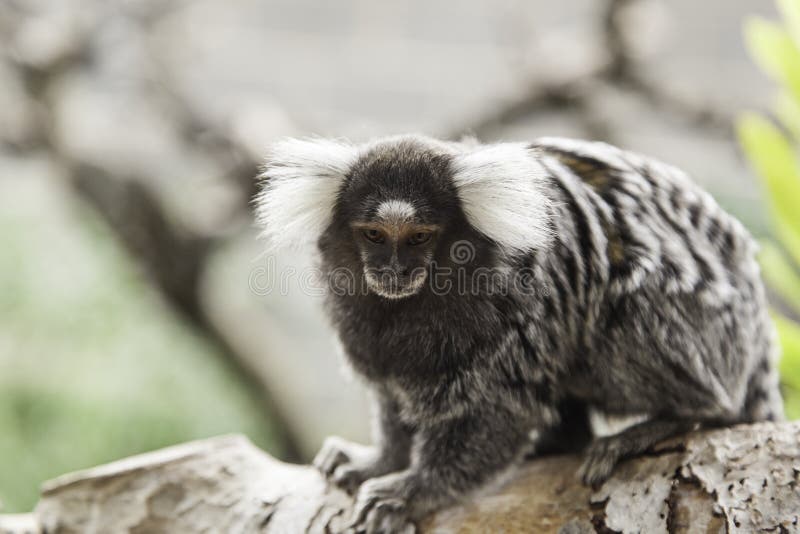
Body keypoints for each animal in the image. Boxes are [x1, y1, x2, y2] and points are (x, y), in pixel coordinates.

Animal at [255, 134, 783, 533]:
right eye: (373, 235)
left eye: (420, 237)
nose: (393, 270)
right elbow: (392, 398)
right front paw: (383, 459)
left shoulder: (515, 312)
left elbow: (498, 411)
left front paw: (412, 489)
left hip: (704, 333)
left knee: (637, 320)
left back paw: (667, 421)